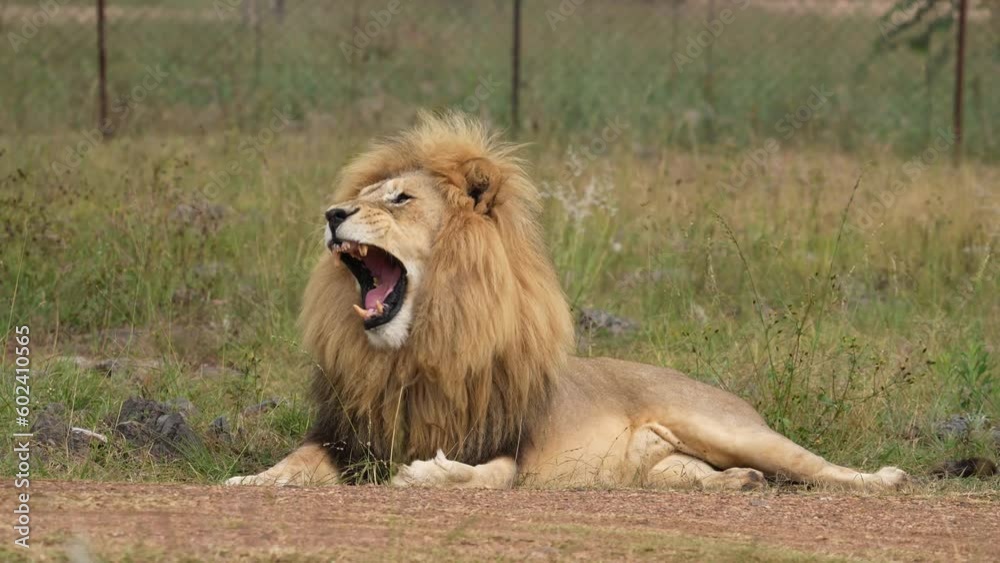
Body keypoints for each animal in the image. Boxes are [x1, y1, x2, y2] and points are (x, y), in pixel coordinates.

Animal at [226, 113, 907, 491]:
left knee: (815, 466)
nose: (333, 214)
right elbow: (300, 456)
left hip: (728, 427)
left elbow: (489, 475)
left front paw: (430, 473)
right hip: (668, 468)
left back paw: (883, 479)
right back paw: (742, 484)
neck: (413, 350)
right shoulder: (348, 435)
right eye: (361, 195)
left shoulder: (511, 443)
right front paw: (254, 477)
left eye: (399, 199)